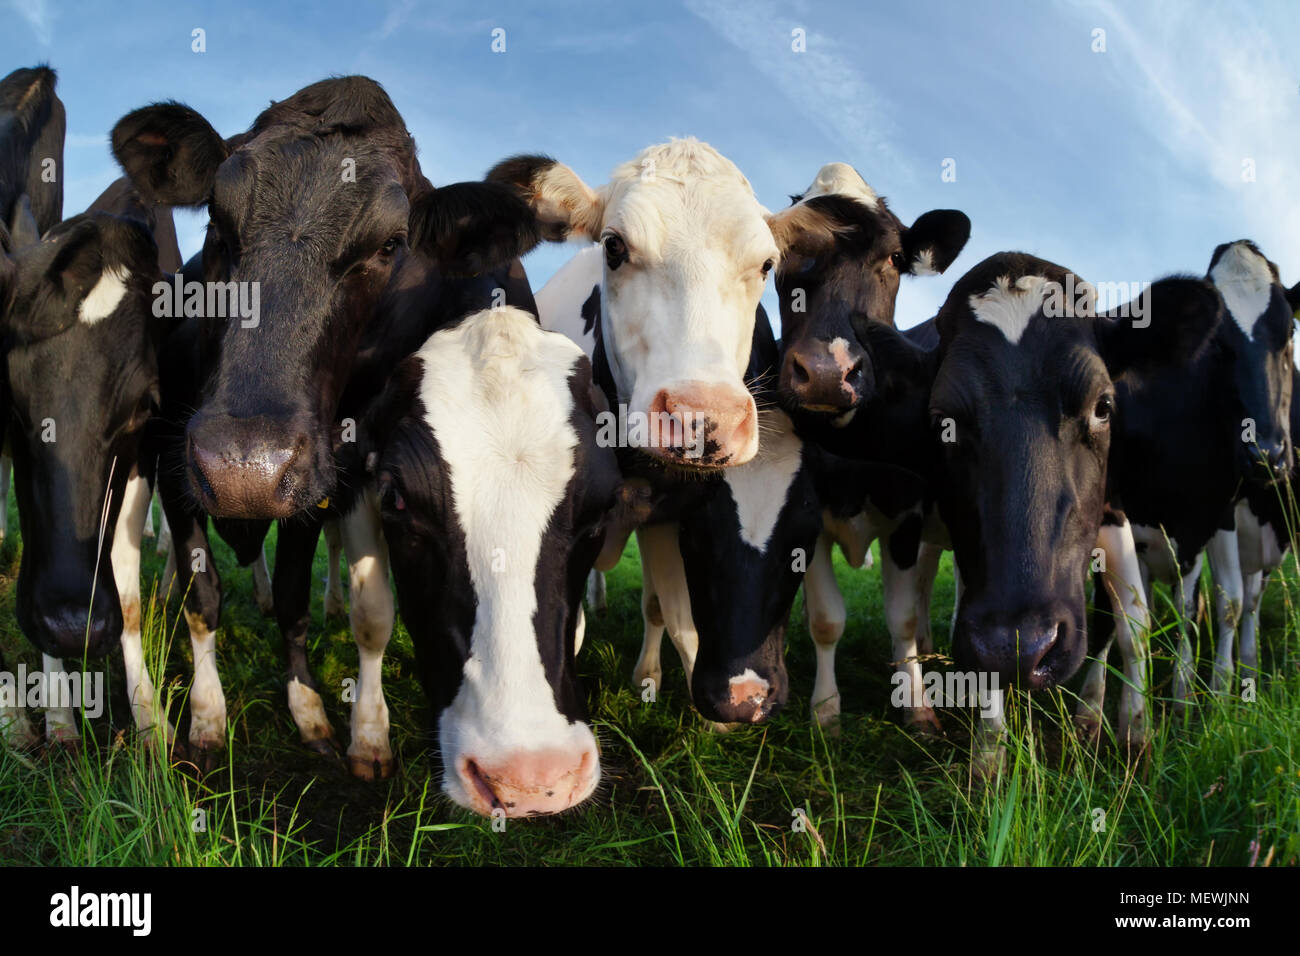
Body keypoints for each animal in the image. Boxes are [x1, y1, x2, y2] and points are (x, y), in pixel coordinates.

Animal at [108, 76, 544, 775]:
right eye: (217, 222)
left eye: (392, 245)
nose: (245, 468)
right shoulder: (179, 470)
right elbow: (204, 601)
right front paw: (206, 715)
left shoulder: (324, 482)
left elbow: (298, 600)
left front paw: (314, 712)